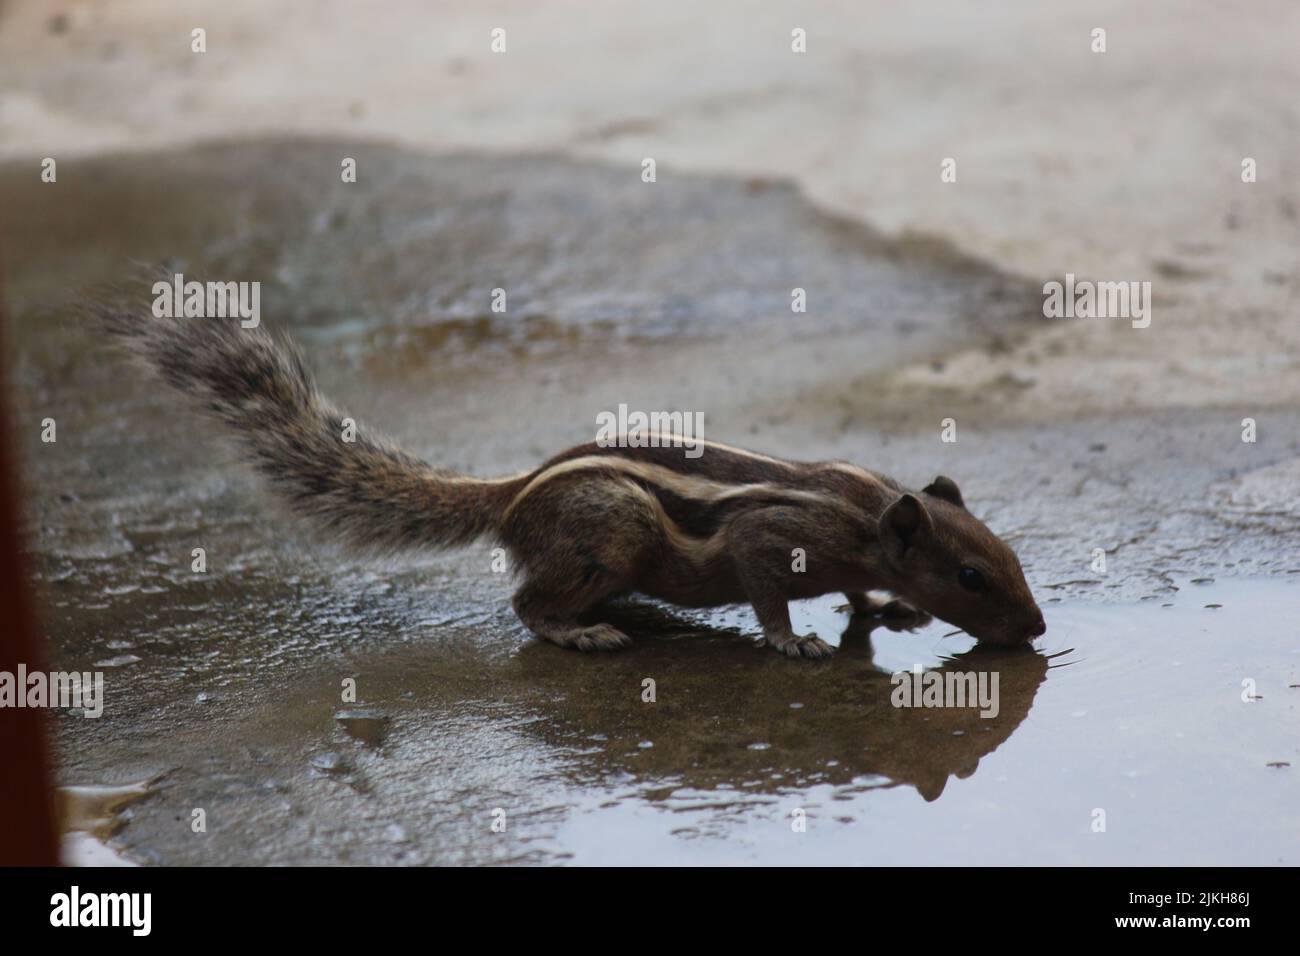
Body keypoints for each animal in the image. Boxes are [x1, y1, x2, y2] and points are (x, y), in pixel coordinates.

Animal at [92, 277, 1046, 659]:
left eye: (1008, 552)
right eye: (969, 575)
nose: (1037, 630)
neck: (864, 509)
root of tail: (514, 497)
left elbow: (856, 590)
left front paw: (881, 608)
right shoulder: (773, 539)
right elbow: (770, 590)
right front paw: (793, 640)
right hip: (612, 530)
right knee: (524, 605)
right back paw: (583, 630)